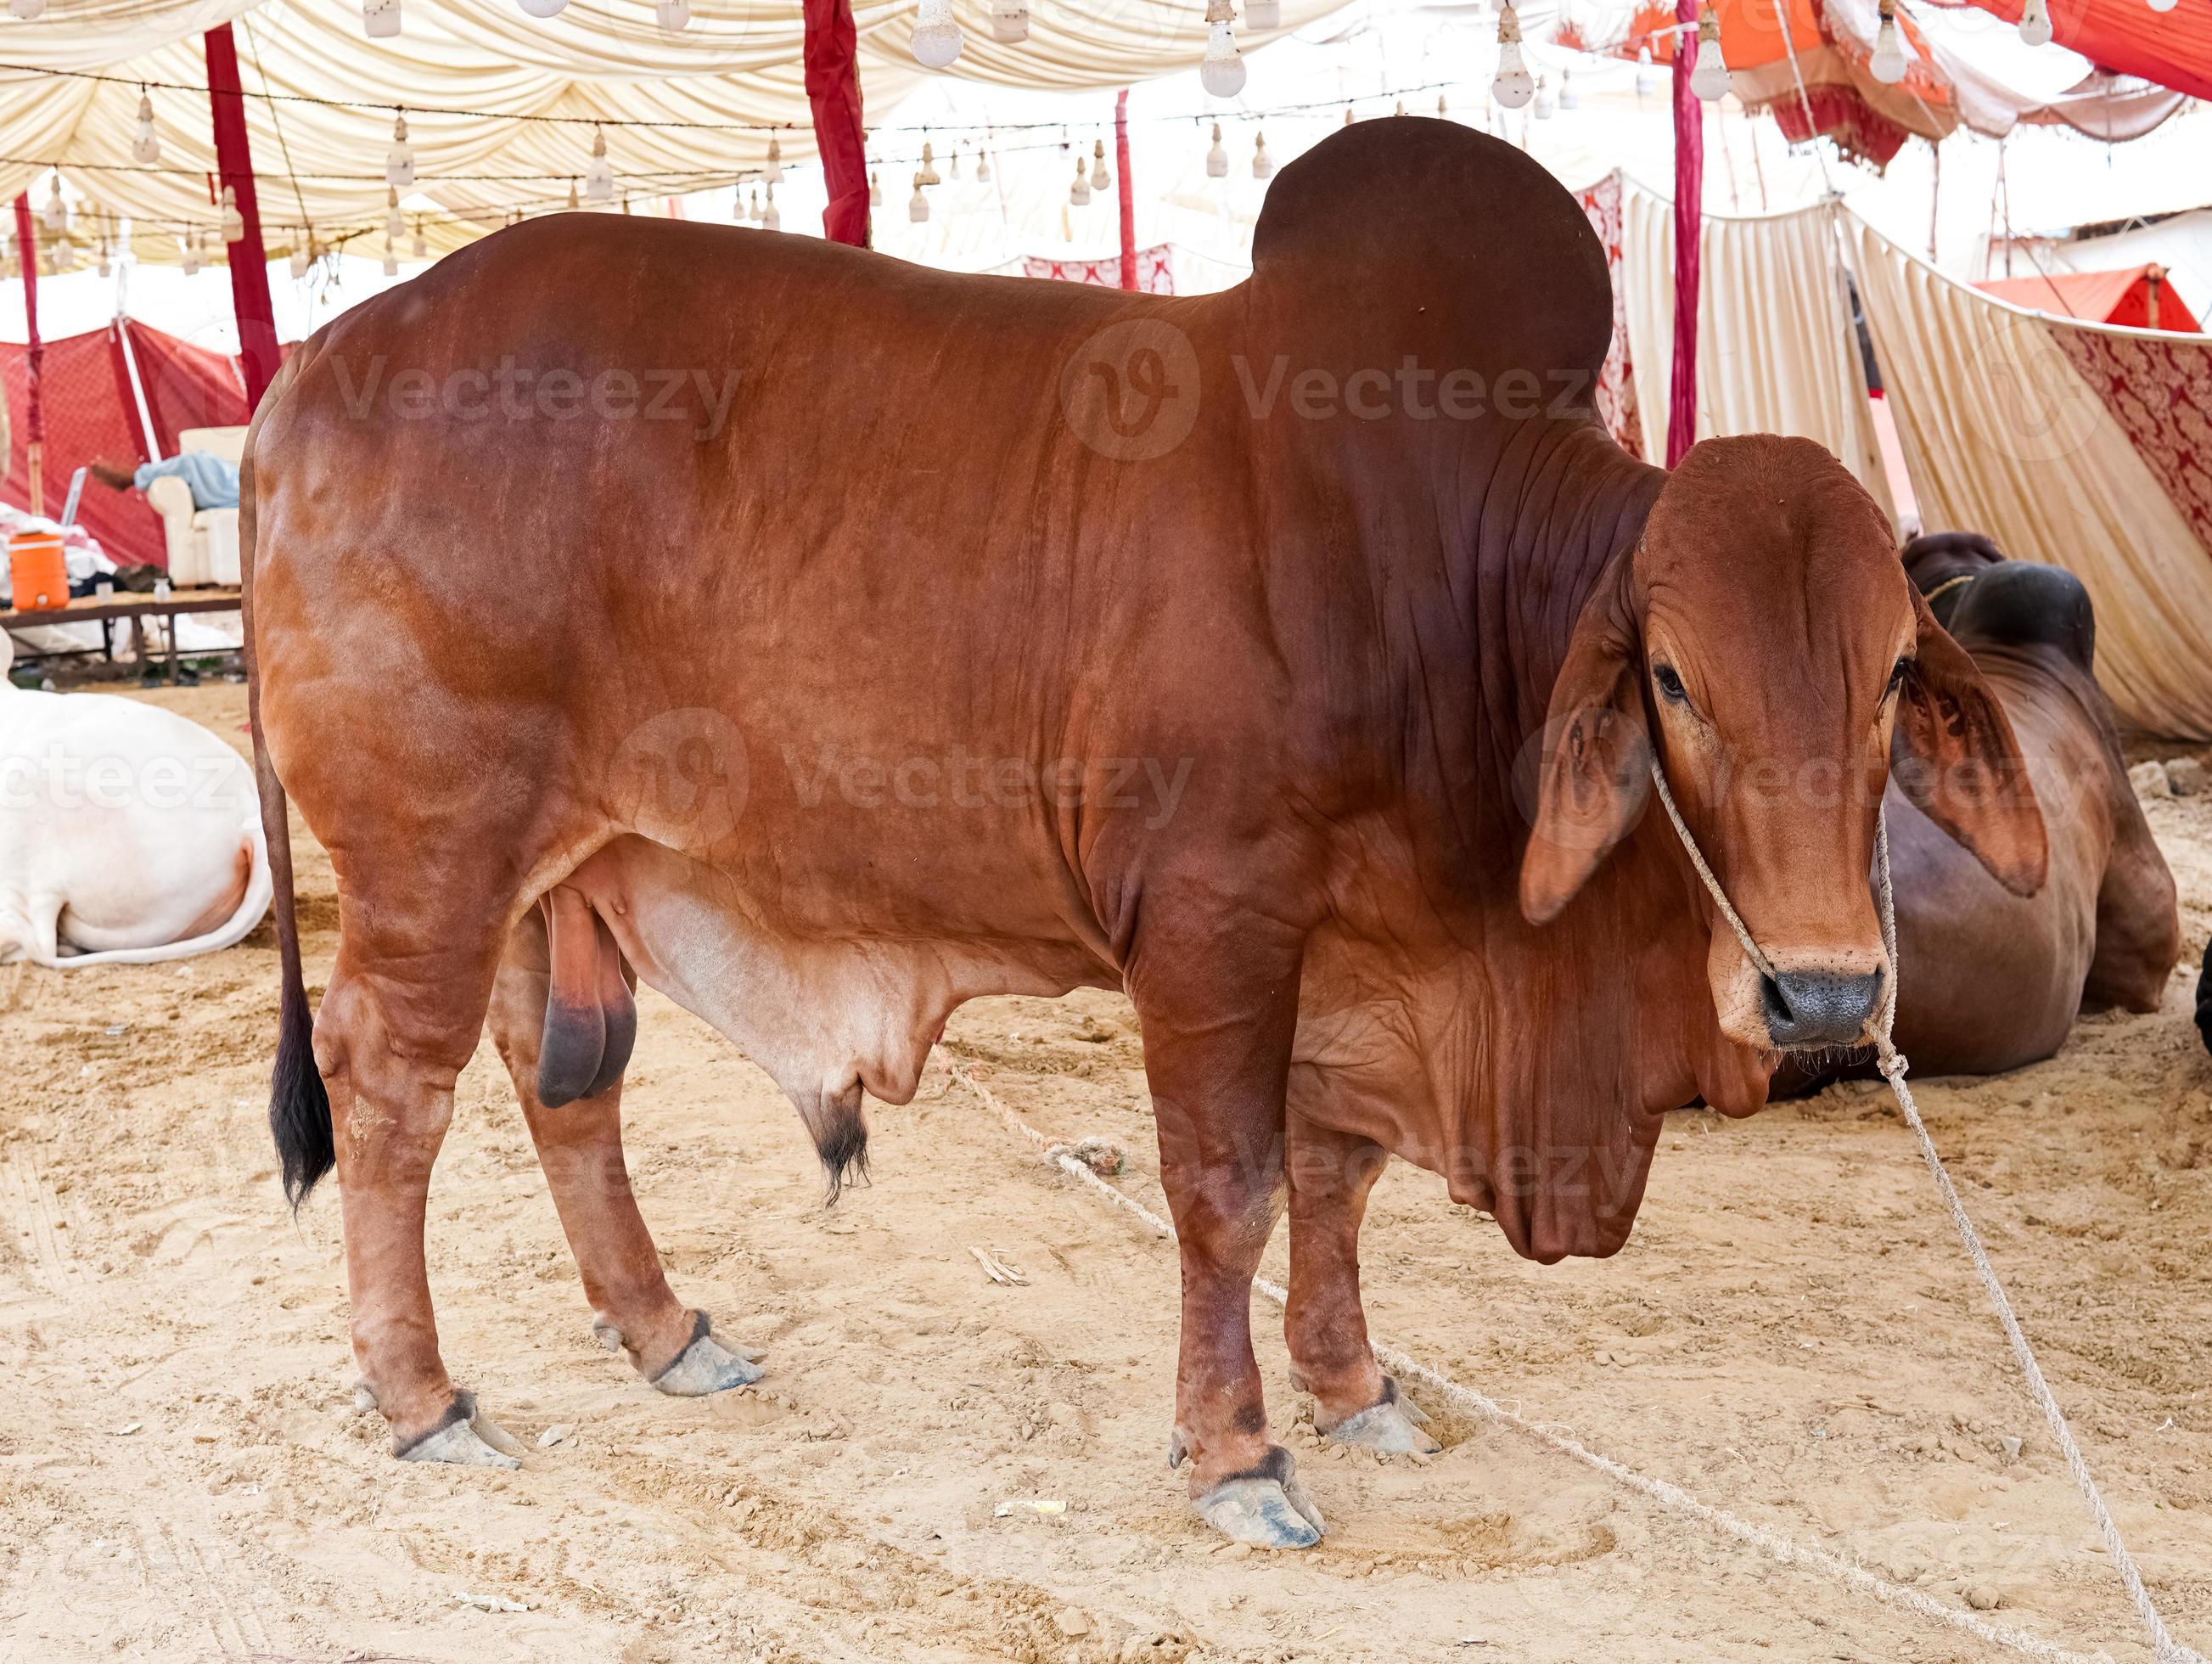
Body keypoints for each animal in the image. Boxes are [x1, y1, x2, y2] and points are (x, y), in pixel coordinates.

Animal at [244, 120, 2044, 1548]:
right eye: (1671, 678)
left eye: (1895, 673)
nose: (1822, 994)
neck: (1440, 574)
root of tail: (310, 376)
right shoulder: (1213, 920)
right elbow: (1229, 1190)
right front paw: (1238, 1454)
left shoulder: (1345, 946)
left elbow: (1335, 1177)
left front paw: (1353, 1383)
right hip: (429, 852)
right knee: (391, 1090)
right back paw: (421, 1396)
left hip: (552, 873)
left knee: (564, 1080)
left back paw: (663, 1326)